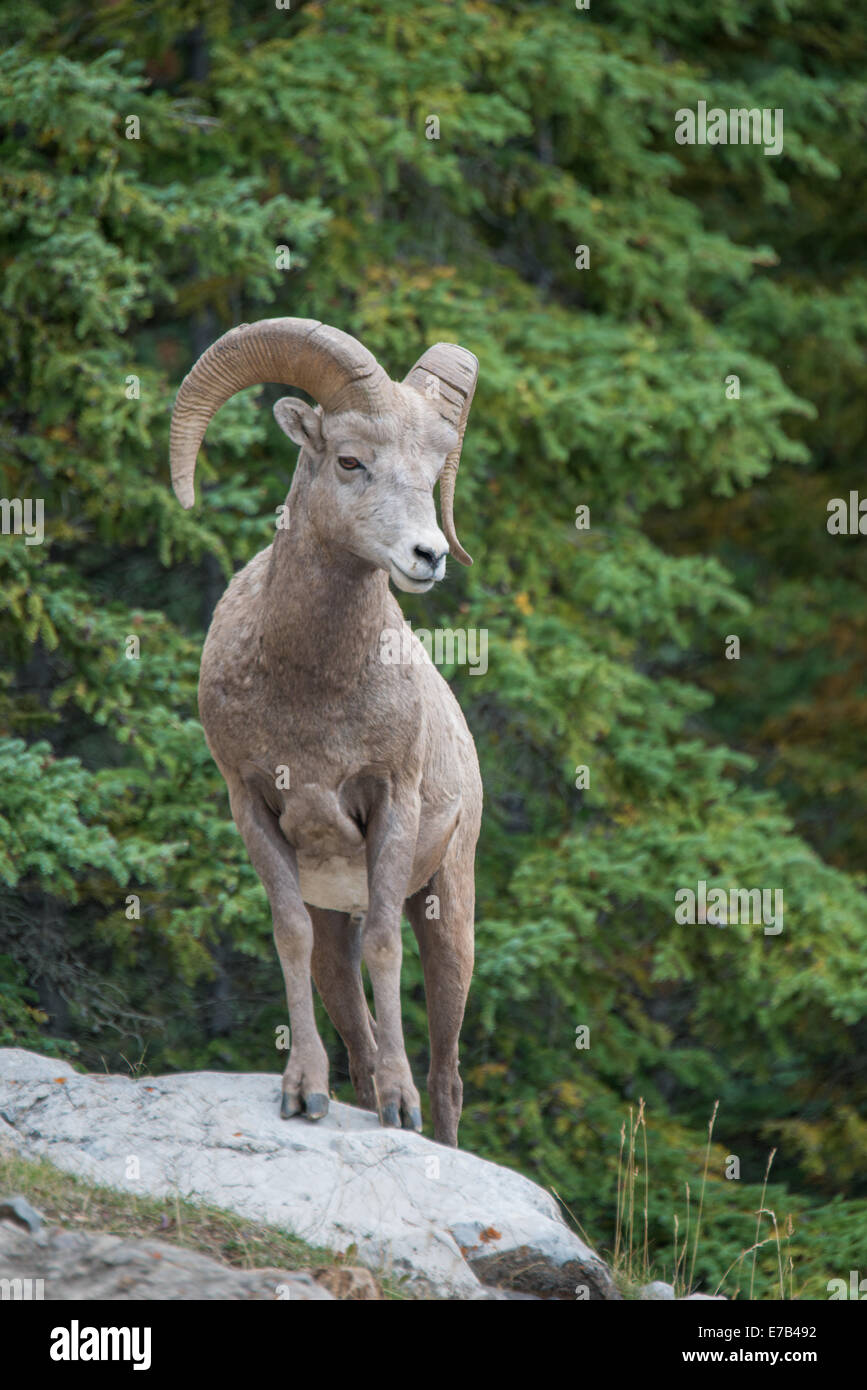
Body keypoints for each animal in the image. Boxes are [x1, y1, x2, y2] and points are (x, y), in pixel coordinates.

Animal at [169, 318, 482, 1146]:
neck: (311, 689)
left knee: (448, 1072)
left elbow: (384, 945)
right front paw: (302, 1093)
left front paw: (399, 1110)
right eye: (350, 460)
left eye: (432, 471)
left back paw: (424, 1127)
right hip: (337, 921)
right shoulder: (256, 811)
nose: (428, 557)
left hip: (449, 908)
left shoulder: (391, 806)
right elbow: (288, 935)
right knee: (358, 1039)